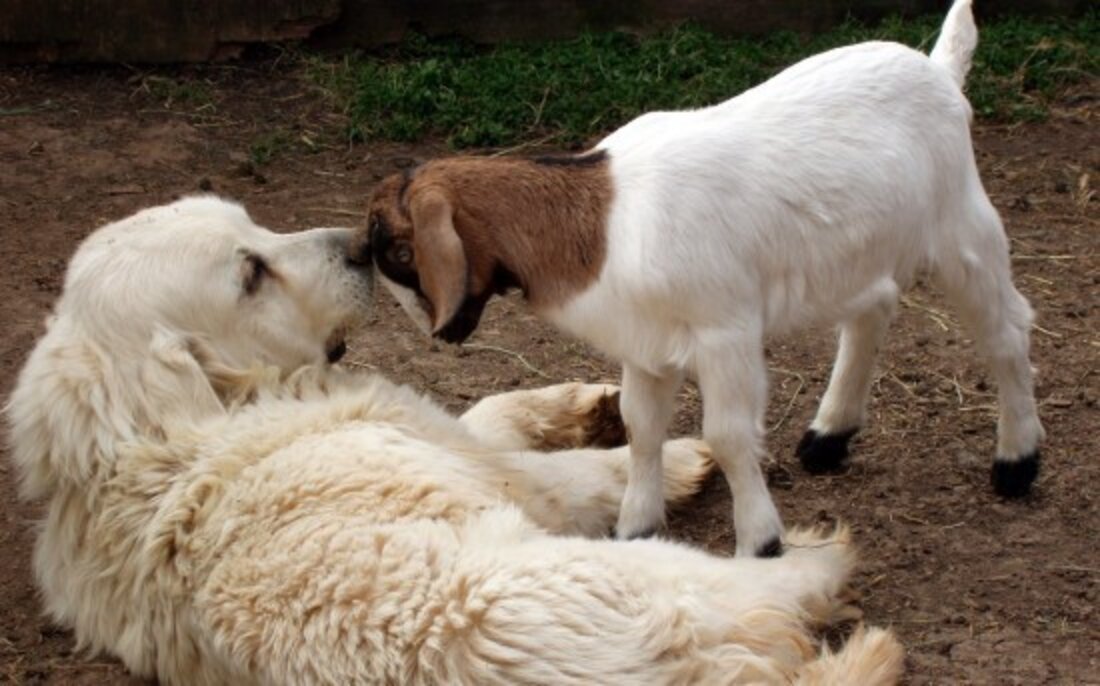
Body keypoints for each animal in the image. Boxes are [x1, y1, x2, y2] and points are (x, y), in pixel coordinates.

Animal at [354, 0, 1044, 557]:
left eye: (397, 250)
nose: (437, 334)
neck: (603, 223)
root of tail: (938, 69)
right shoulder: (644, 344)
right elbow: (641, 427)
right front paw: (636, 527)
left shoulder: (724, 332)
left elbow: (728, 436)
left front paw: (761, 541)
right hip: (857, 249)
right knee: (872, 309)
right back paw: (829, 436)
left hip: (962, 229)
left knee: (1007, 332)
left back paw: (1017, 461)